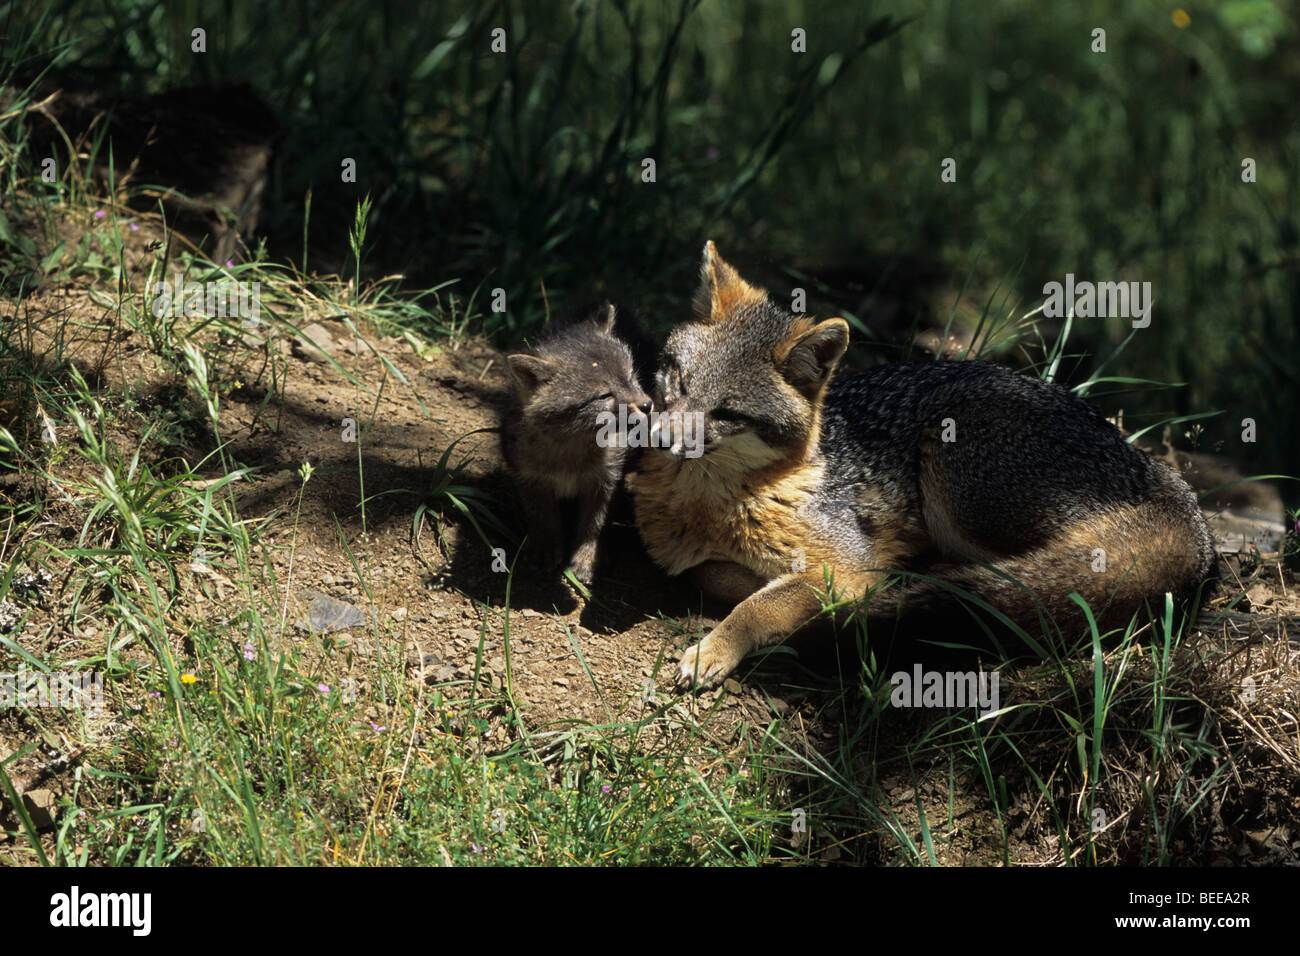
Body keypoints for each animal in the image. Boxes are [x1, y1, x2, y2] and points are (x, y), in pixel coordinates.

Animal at [502, 302, 655, 584]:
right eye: (604, 395)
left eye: (630, 376)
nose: (647, 405)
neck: (571, 450)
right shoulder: (530, 478)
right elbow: (542, 518)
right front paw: (544, 549)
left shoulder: (607, 481)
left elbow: (595, 524)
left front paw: (587, 559)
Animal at [631, 242, 1216, 689]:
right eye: (678, 381)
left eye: (726, 413)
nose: (656, 437)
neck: (712, 509)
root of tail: (1162, 478)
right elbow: (715, 574)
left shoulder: (847, 565)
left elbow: (763, 604)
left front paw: (716, 647)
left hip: (955, 471)